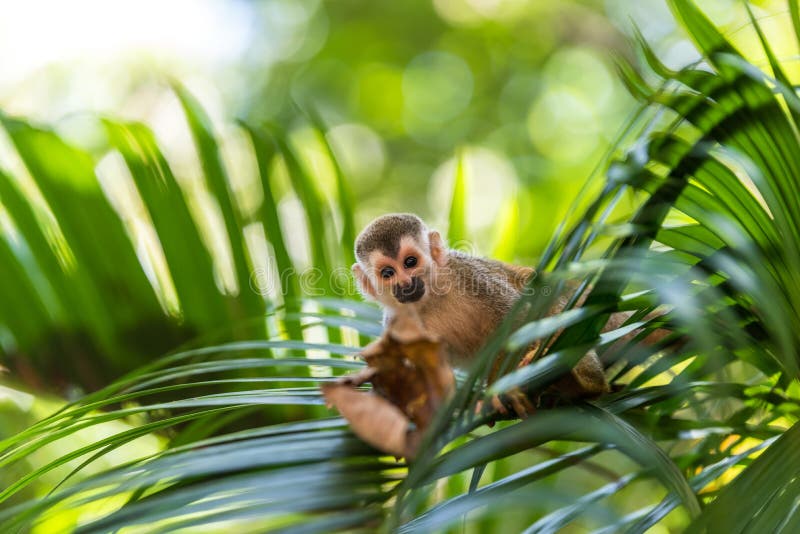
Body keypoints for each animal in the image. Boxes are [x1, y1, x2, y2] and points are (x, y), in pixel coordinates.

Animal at [352, 213, 610, 413]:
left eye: (410, 262)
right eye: (388, 273)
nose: (405, 283)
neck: (430, 300)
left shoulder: (470, 276)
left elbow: (517, 322)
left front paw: (503, 388)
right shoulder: (395, 324)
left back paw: (584, 383)